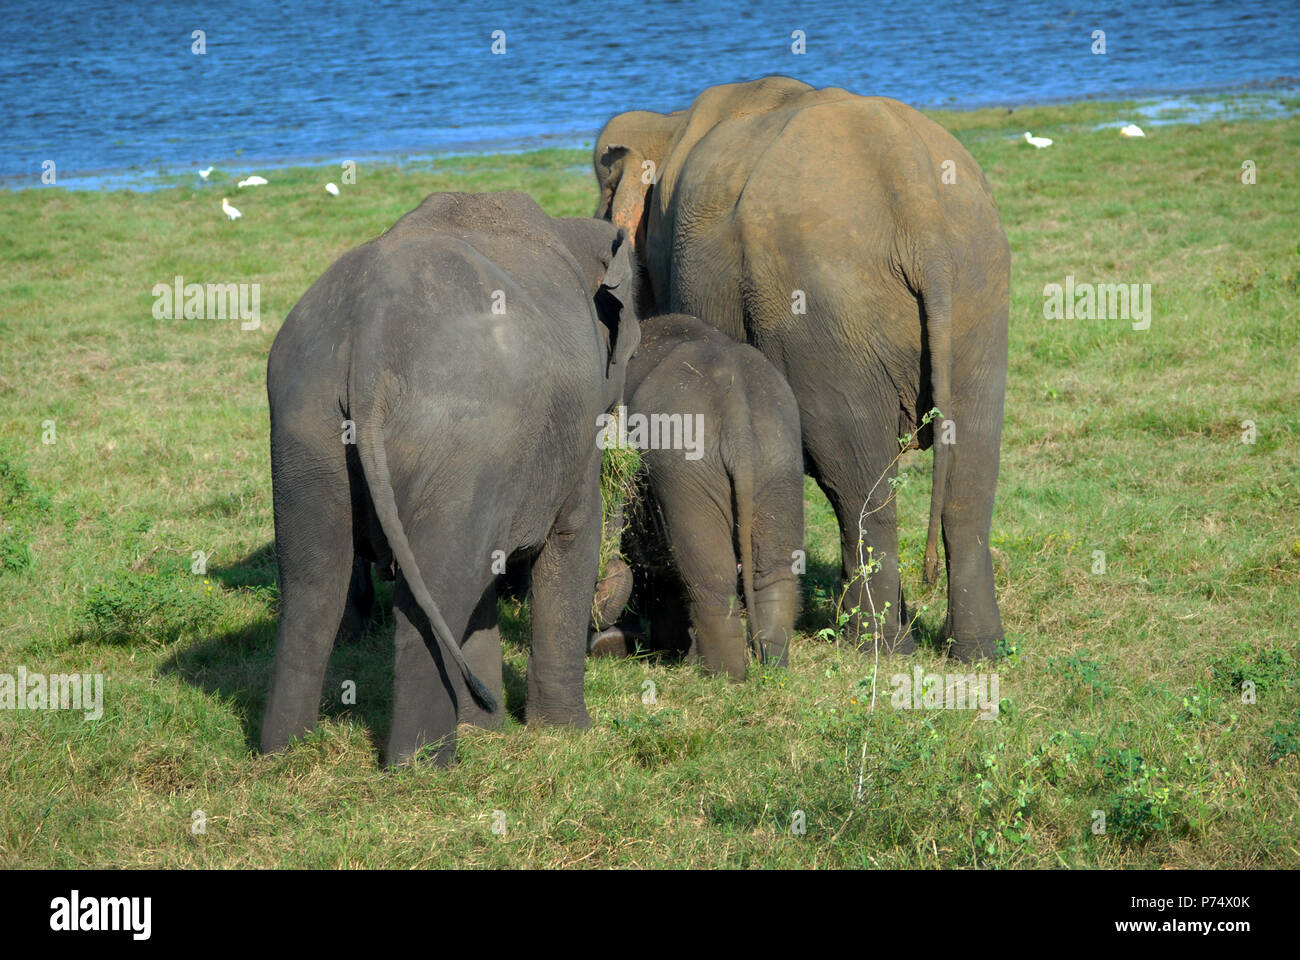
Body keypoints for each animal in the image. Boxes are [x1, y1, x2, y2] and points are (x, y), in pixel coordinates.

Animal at [261, 191, 639, 766]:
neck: (567, 227)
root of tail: (369, 341)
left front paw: (488, 728)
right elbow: (574, 534)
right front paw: (567, 735)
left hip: (305, 424)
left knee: (314, 584)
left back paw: (283, 756)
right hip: (464, 440)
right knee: (430, 590)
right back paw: (420, 768)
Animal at [591, 313, 804, 680]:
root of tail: (736, 413)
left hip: (687, 471)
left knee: (710, 581)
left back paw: (720, 678)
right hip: (780, 461)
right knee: (772, 573)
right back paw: (771, 670)